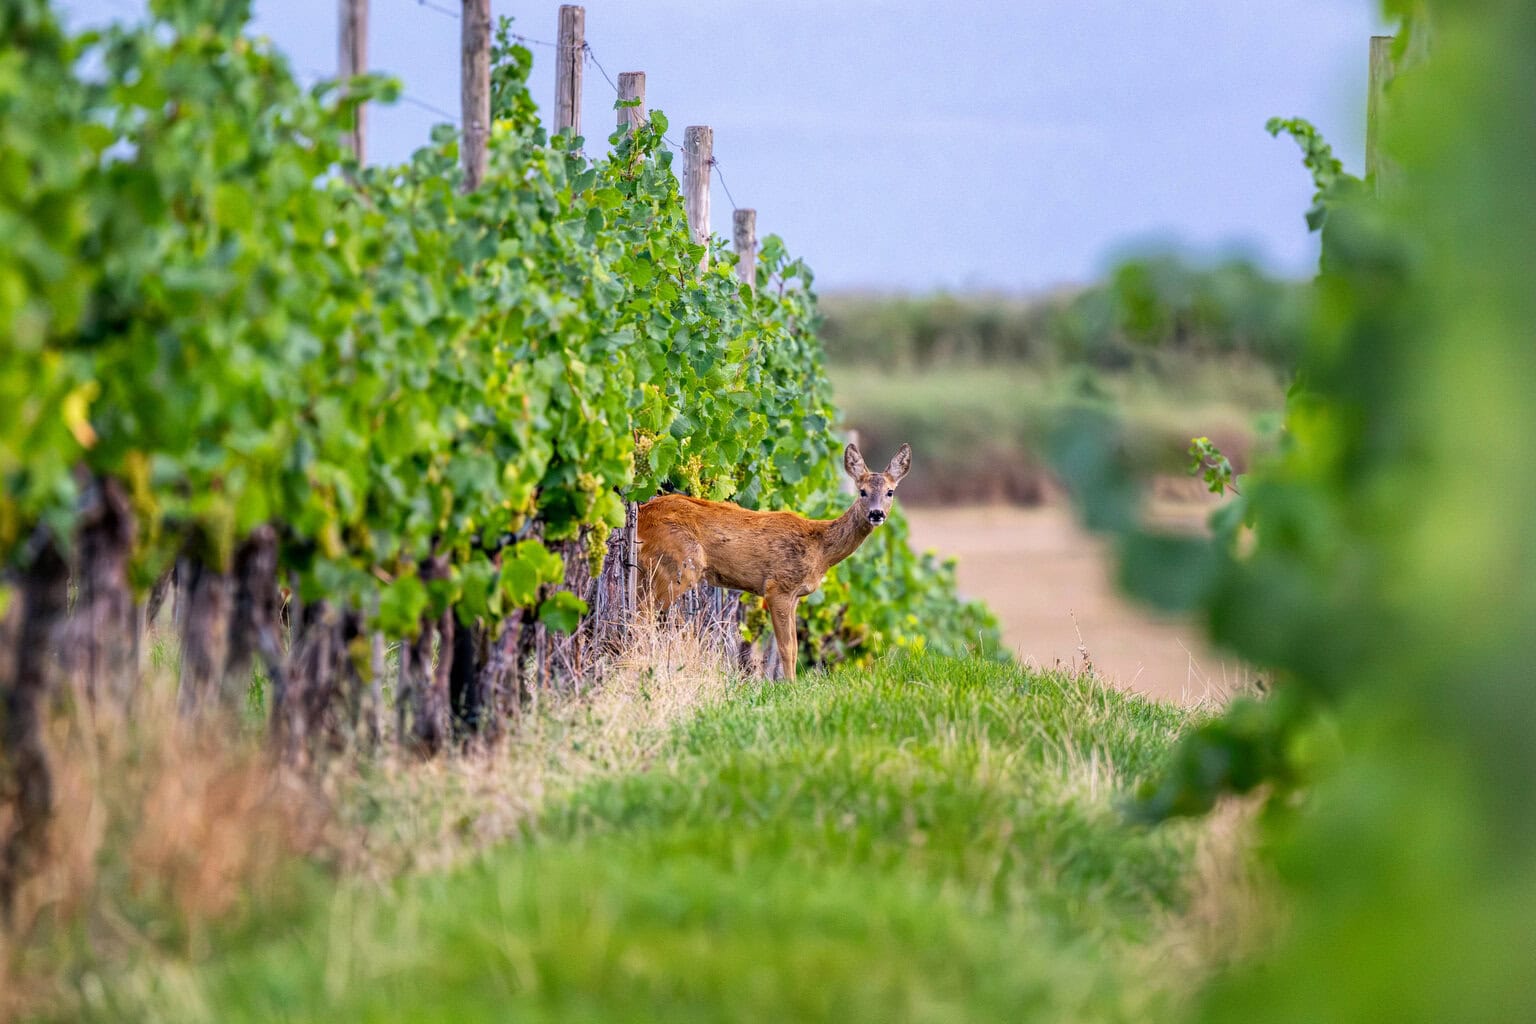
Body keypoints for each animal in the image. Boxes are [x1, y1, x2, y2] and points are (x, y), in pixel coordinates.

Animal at [636, 441, 911, 682]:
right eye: (862, 491)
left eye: (890, 491)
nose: (876, 514)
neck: (820, 550)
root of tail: (642, 514)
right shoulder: (778, 587)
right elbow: (786, 648)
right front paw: (790, 686)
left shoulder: (796, 596)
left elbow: (795, 646)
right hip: (676, 564)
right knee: (642, 615)